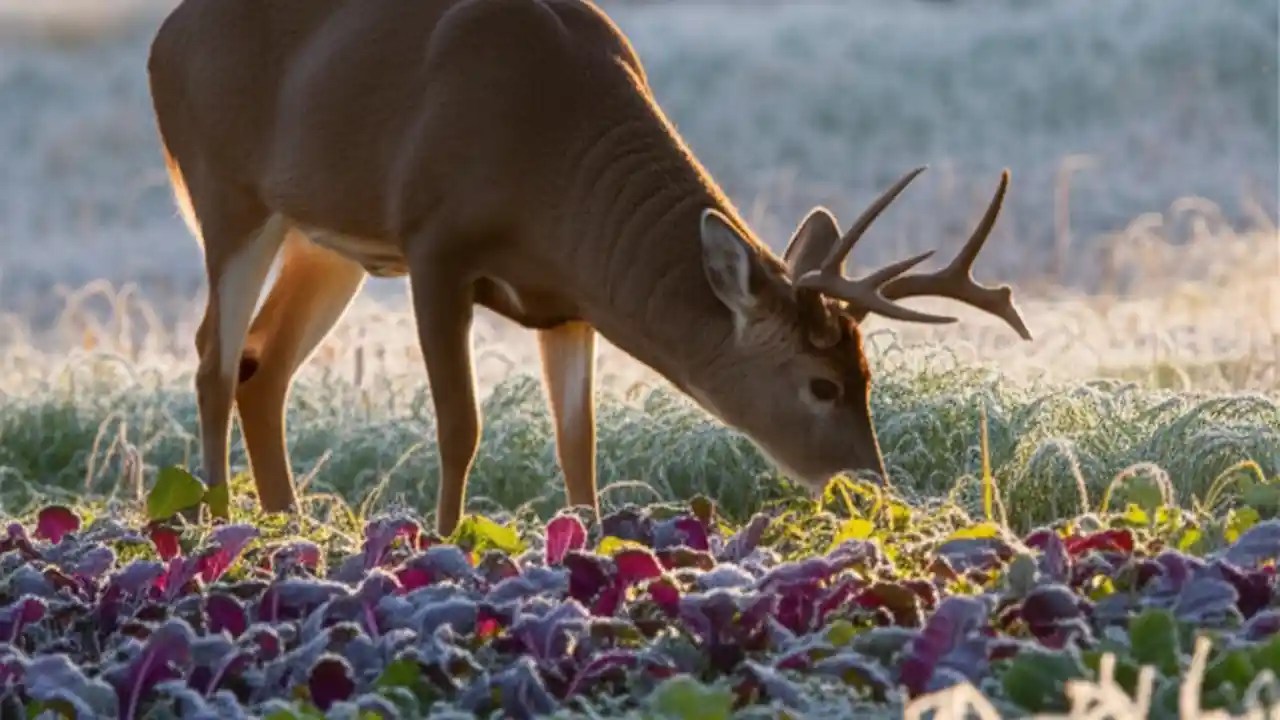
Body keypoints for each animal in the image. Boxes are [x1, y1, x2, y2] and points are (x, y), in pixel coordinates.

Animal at [146, 0, 1032, 537]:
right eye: (821, 385)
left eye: (867, 376)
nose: (872, 487)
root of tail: (162, 40)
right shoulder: (435, 242)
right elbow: (461, 424)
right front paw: (446, 541)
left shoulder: (569, 301)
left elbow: (579, 440)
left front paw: (591, 544)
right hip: (228, 193)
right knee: (213, 357)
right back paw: (215, 523)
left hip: (328, 246)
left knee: (263, 364)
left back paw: (285, 525)